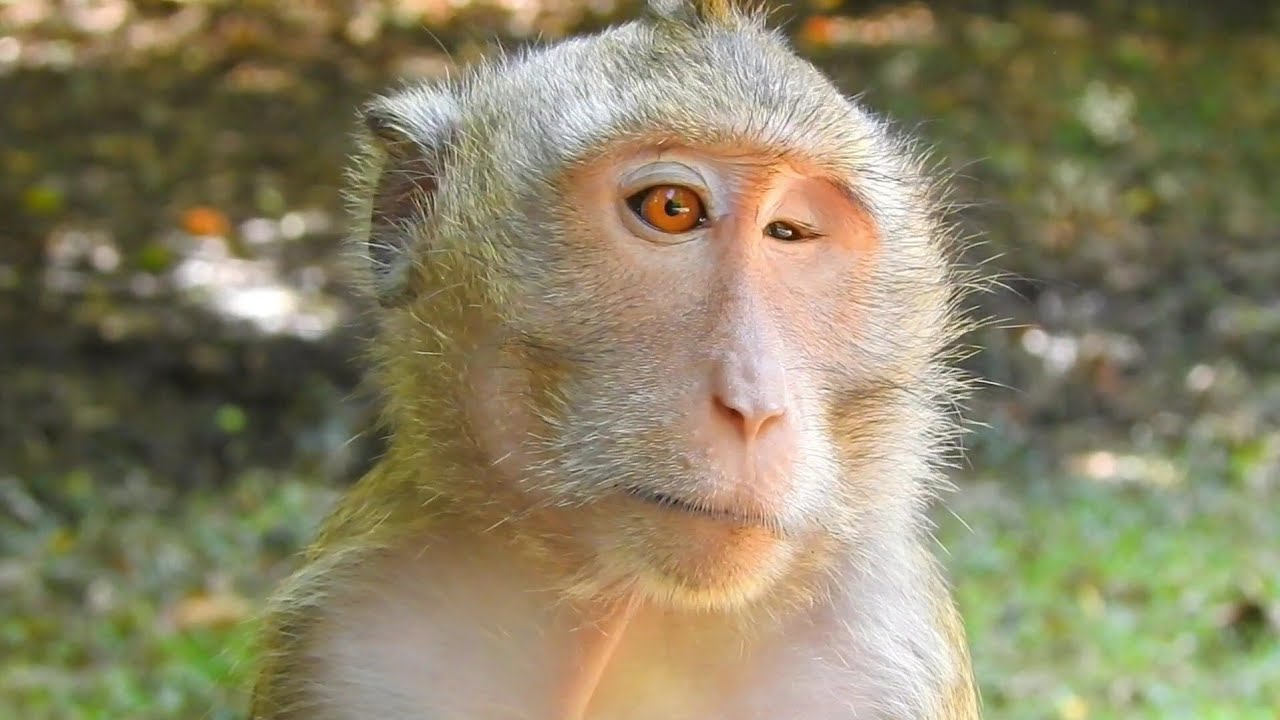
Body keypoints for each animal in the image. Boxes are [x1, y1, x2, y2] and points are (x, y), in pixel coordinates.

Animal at [249, 0, 982, 718]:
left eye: (789, 232)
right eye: (672, 208)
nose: (755, 405)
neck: (627, 604)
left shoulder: (888, 659)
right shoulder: (343, 633)